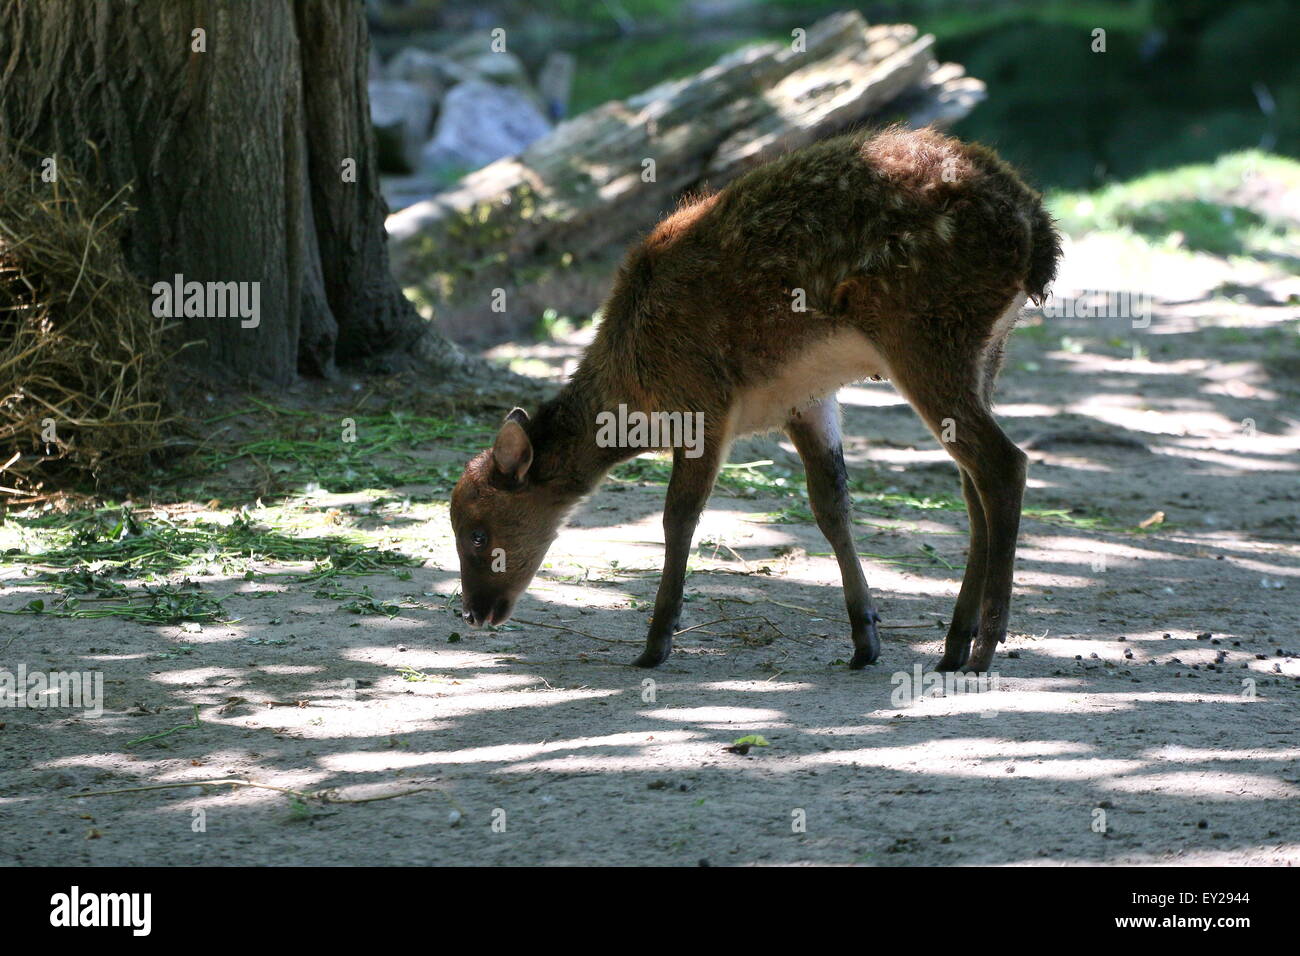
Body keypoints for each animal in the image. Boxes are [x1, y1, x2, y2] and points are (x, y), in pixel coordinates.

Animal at [450, 125, 1061, 674]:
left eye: (478, 532)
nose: (474, 613)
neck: (640, 394)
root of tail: (1038, 235)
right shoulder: (804, 398)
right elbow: (830, 504)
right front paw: (865, 640)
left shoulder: (704, 404)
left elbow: (678, 516)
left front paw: (655, 645)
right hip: (986, 353)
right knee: (973, 484)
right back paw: (954, 646)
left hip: (925, 336)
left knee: (1004, 463)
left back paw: (984, 649)